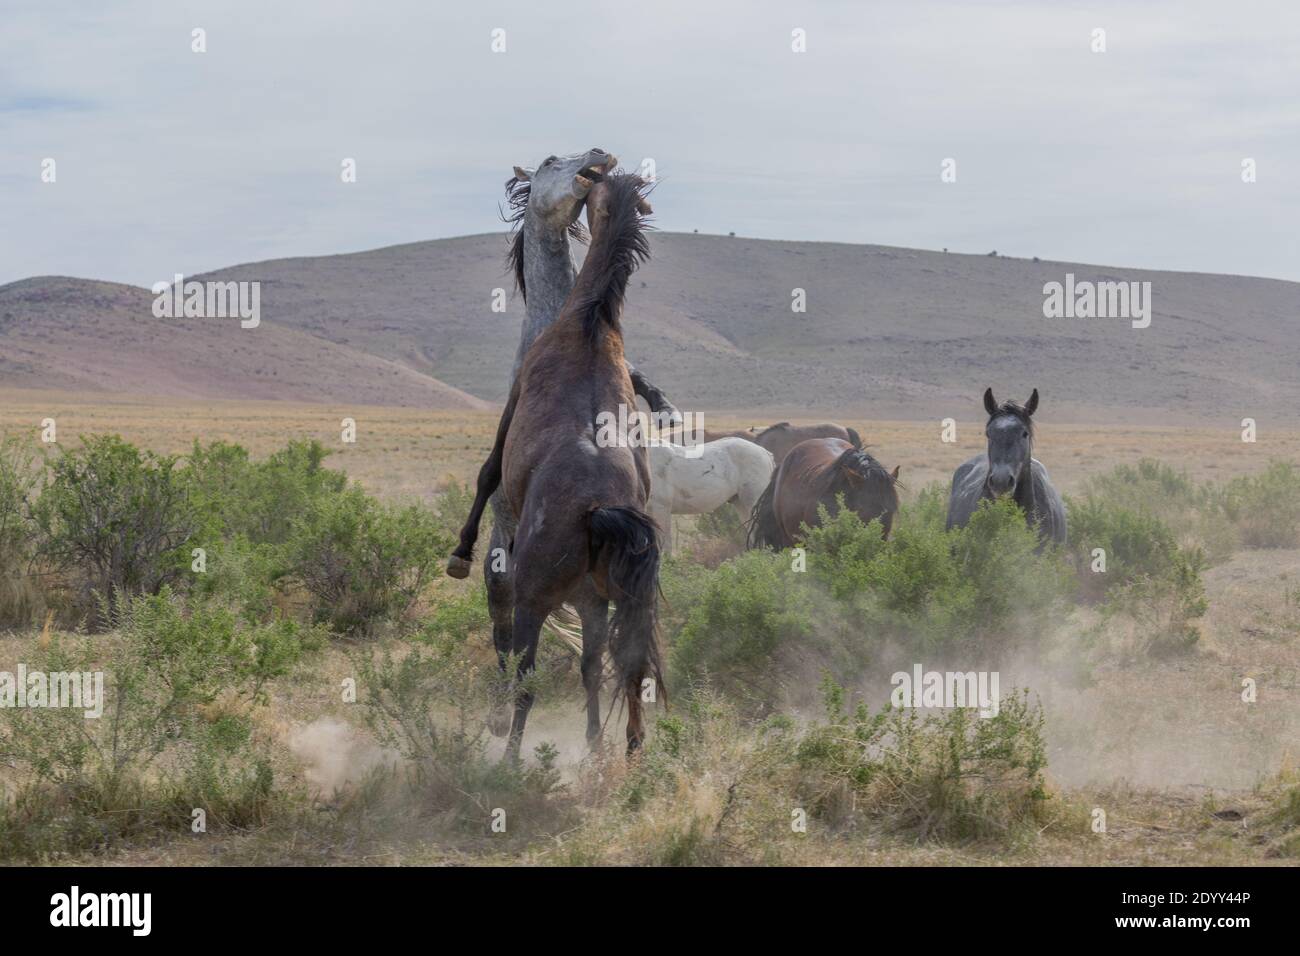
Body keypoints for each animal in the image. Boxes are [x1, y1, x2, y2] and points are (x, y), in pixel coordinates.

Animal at [448, 174, 662, 758]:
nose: (596, 162)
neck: (589, 323)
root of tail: (597, 513)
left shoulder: (513, 402)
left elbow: (487, 473)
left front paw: (459, 553)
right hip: (603, 601)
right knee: (615, 668)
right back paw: (615, 751)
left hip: (535, 600)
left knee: (527, 676)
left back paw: (511, 763)